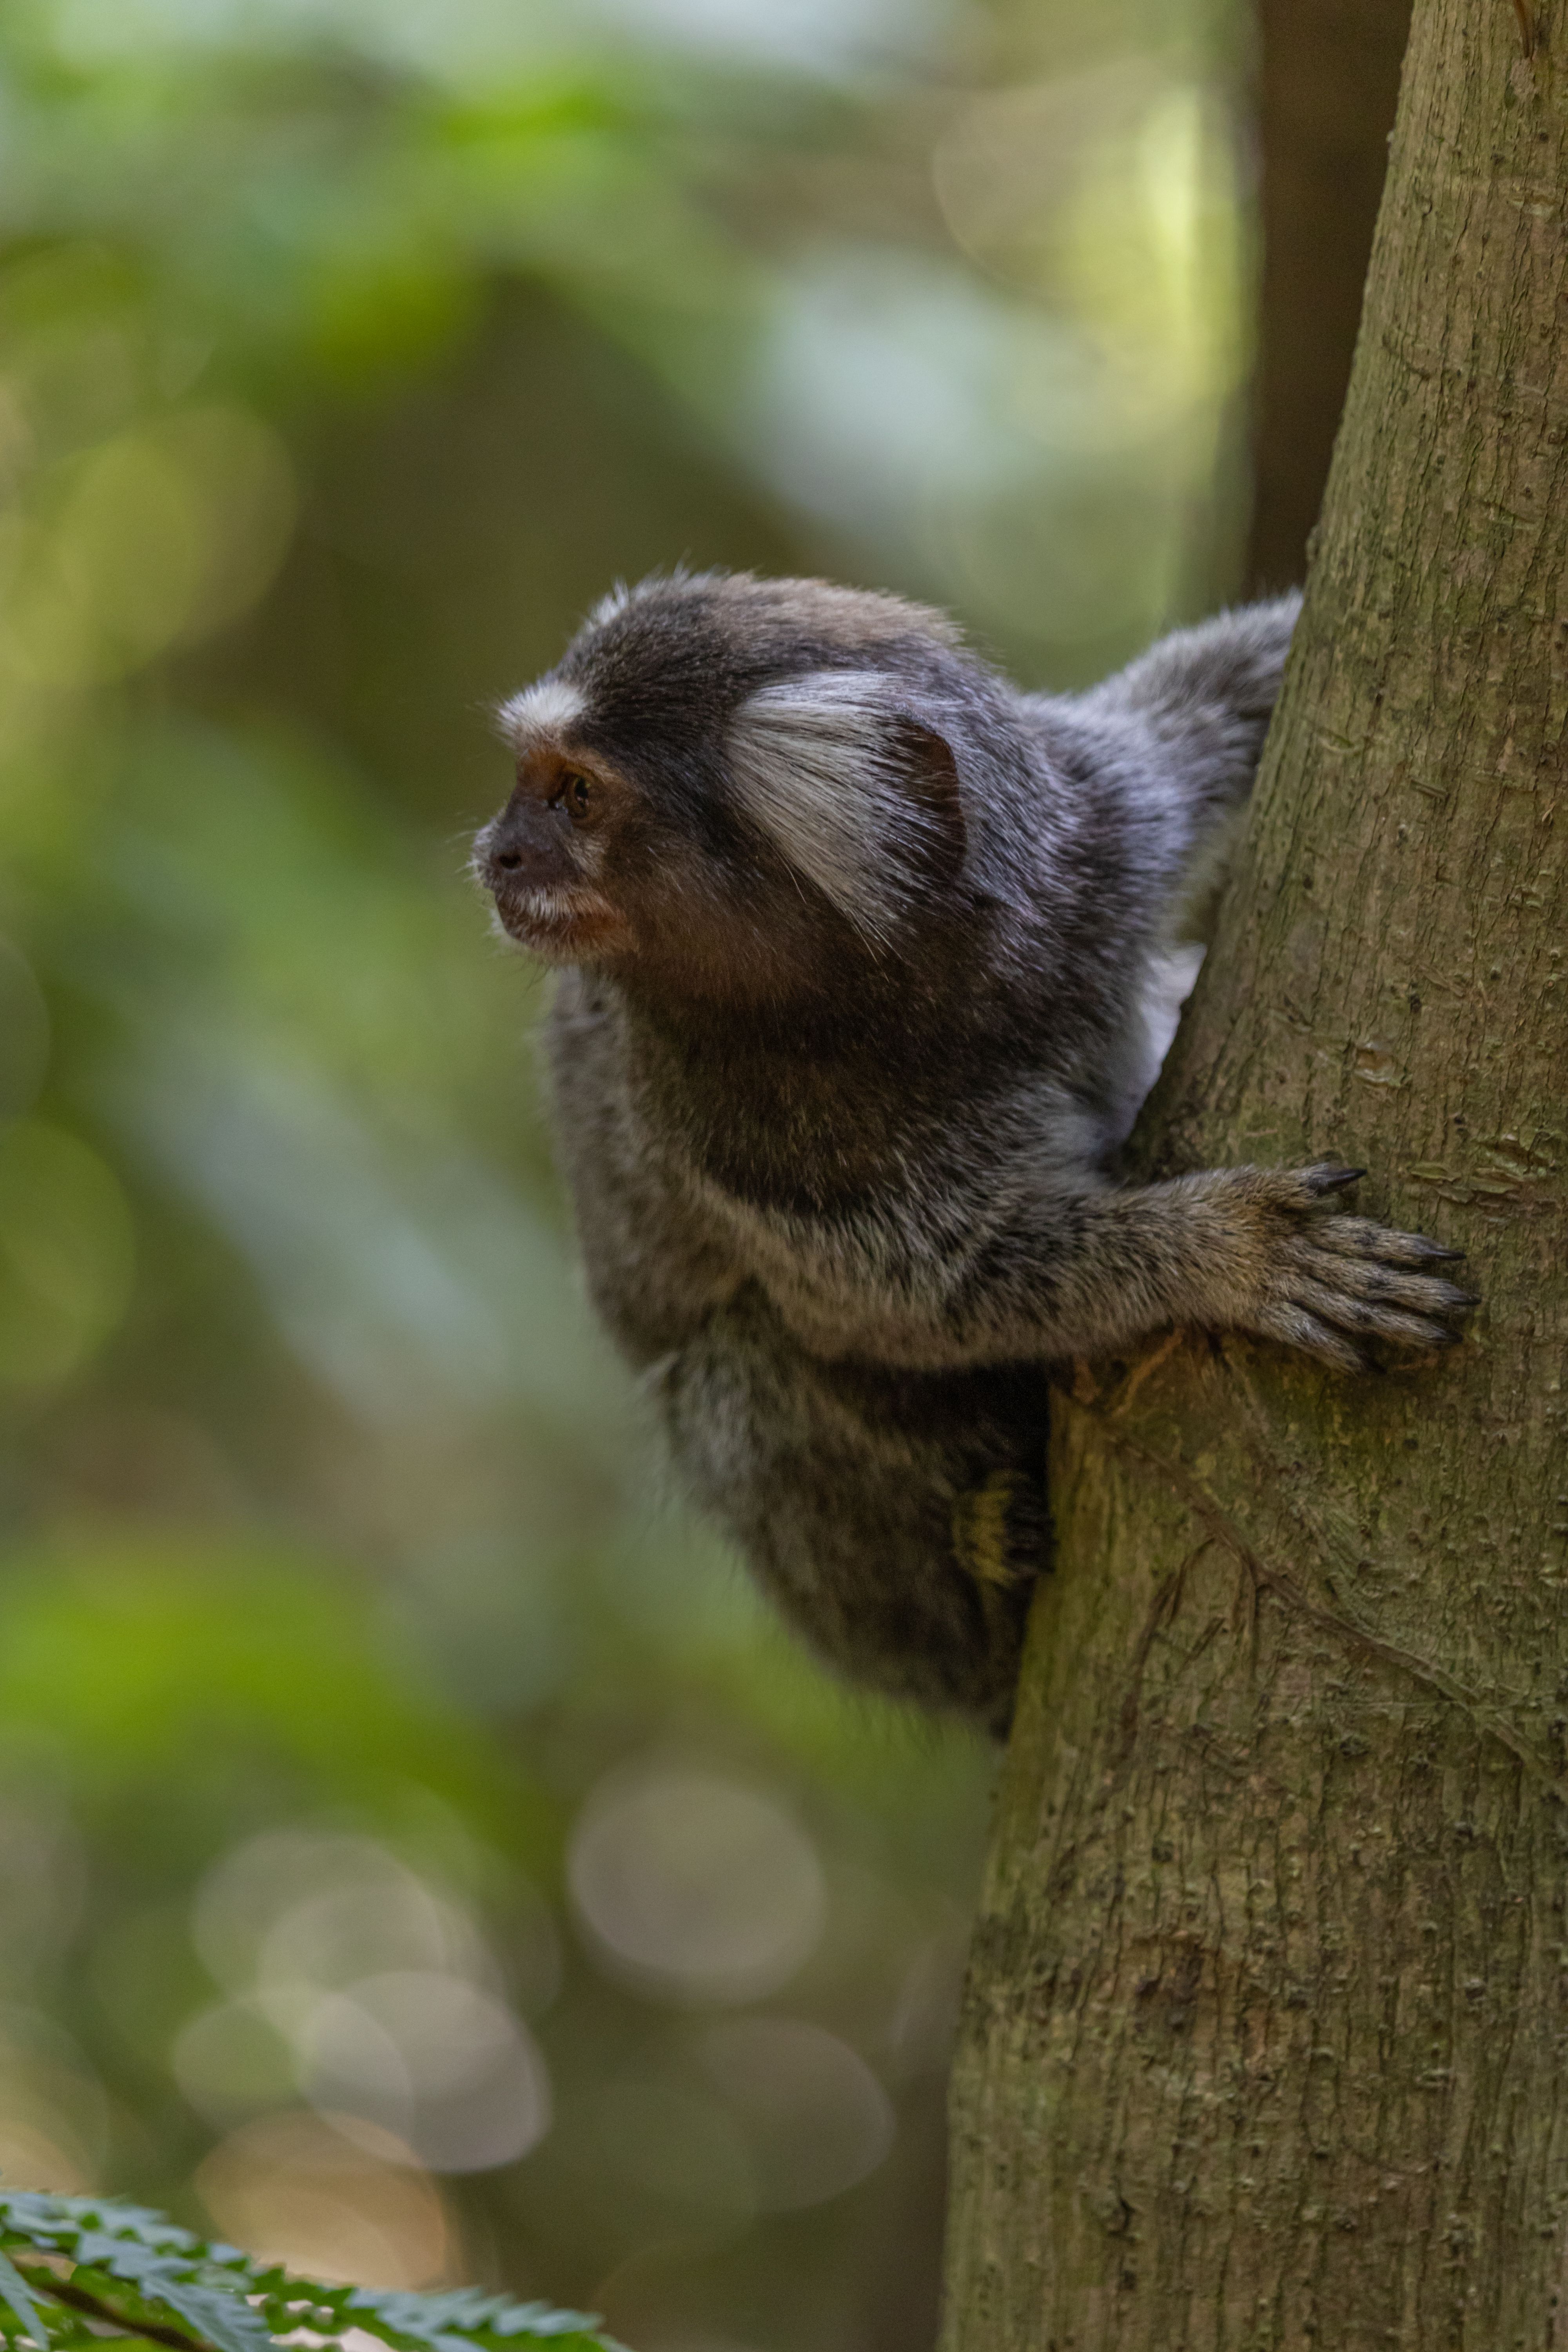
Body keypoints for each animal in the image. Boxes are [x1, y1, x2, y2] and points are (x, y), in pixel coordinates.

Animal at [472, 570, 1473, 1736]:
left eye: (576, 795)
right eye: (532, 783)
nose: (498, 853)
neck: (915, 987)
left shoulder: (1103, 834)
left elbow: (1228, 691)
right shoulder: (731, 1121)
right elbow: (920, 1296)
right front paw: (1227, 1250)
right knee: (740, 1379)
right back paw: (986, 1603)